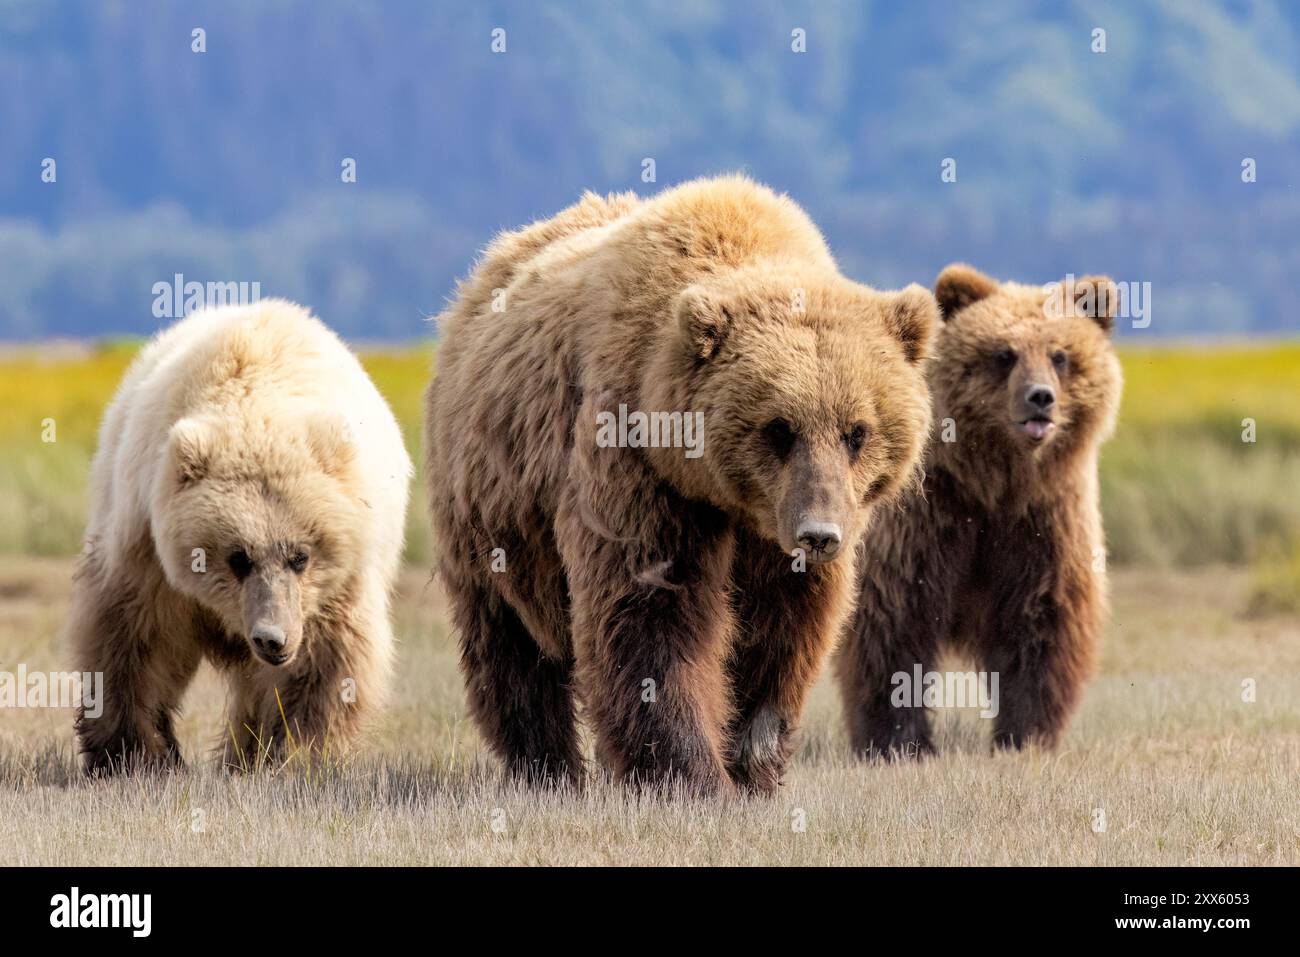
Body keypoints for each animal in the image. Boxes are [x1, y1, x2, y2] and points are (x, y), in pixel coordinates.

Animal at [70, 299, 412, 774]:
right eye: (238, 557)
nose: (272, 639)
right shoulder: (148, 550)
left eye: (301, 555)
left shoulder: (335, 586)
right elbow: (134, 641)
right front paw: (133, 752)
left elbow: (326, 663)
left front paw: (300, 753)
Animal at [425, 176, 938, 795]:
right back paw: (545, 768)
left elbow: (778, 630)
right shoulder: (639, 467)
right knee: (508, 644)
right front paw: (693, 777)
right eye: (779, 427)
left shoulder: (775, 534)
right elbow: (653, 614)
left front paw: (753, 761)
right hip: (491, 515)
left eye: (857, 431)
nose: (819, 534)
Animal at [835, 265, 1123, 757]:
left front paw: (1026, 735)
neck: (994, 484)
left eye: (1060, 355)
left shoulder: (1043, 521)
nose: (1040, 397)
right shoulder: (927, 519)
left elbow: (1042, 620)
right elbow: (893, 621)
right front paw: (898, 742)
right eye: (1005, 354)